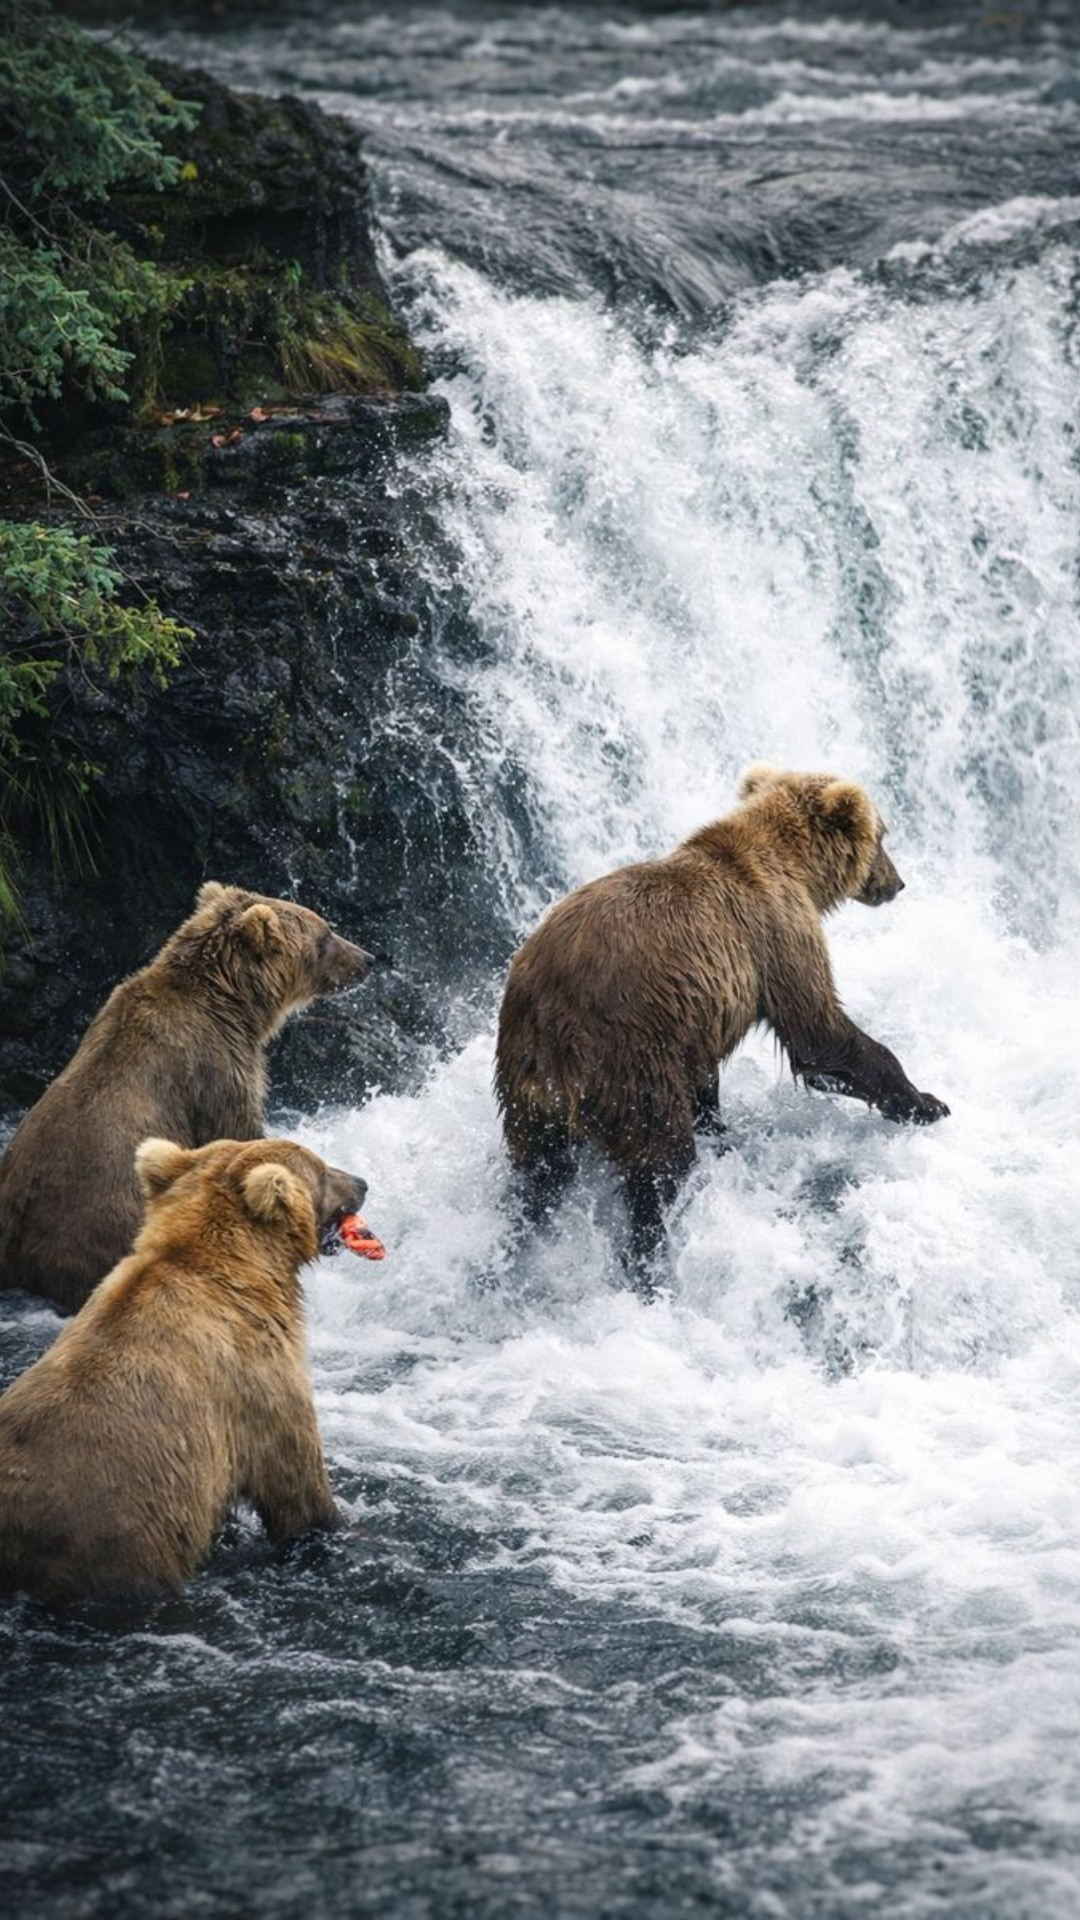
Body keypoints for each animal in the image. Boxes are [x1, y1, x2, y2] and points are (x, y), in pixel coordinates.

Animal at [0, 883, 372, 1314]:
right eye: (325, 935)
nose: (367, 959)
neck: (233, 1003)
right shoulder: (216, 1070)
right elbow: (238, 1130)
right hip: (100, 1220)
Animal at [0, 1134, 368, 1607]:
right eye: (321, 1171)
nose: (362, 1182)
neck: (243, 1271)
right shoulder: (258, 1379)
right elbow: (296, 1486)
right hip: (117, 1541)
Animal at [496, 765, 949, 1265]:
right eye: (882, 835)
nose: (897, 883)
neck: (796, 868)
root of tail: (551, 1030)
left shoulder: (697, 1013)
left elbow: (708, 1077)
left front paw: (718, 1126)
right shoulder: (777, 936)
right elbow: (819, 1035)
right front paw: (927, 1102)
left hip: (526, 1084)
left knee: (539, 1170)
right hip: (627, 1056)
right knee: (659, 1156)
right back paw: (652, 1247)